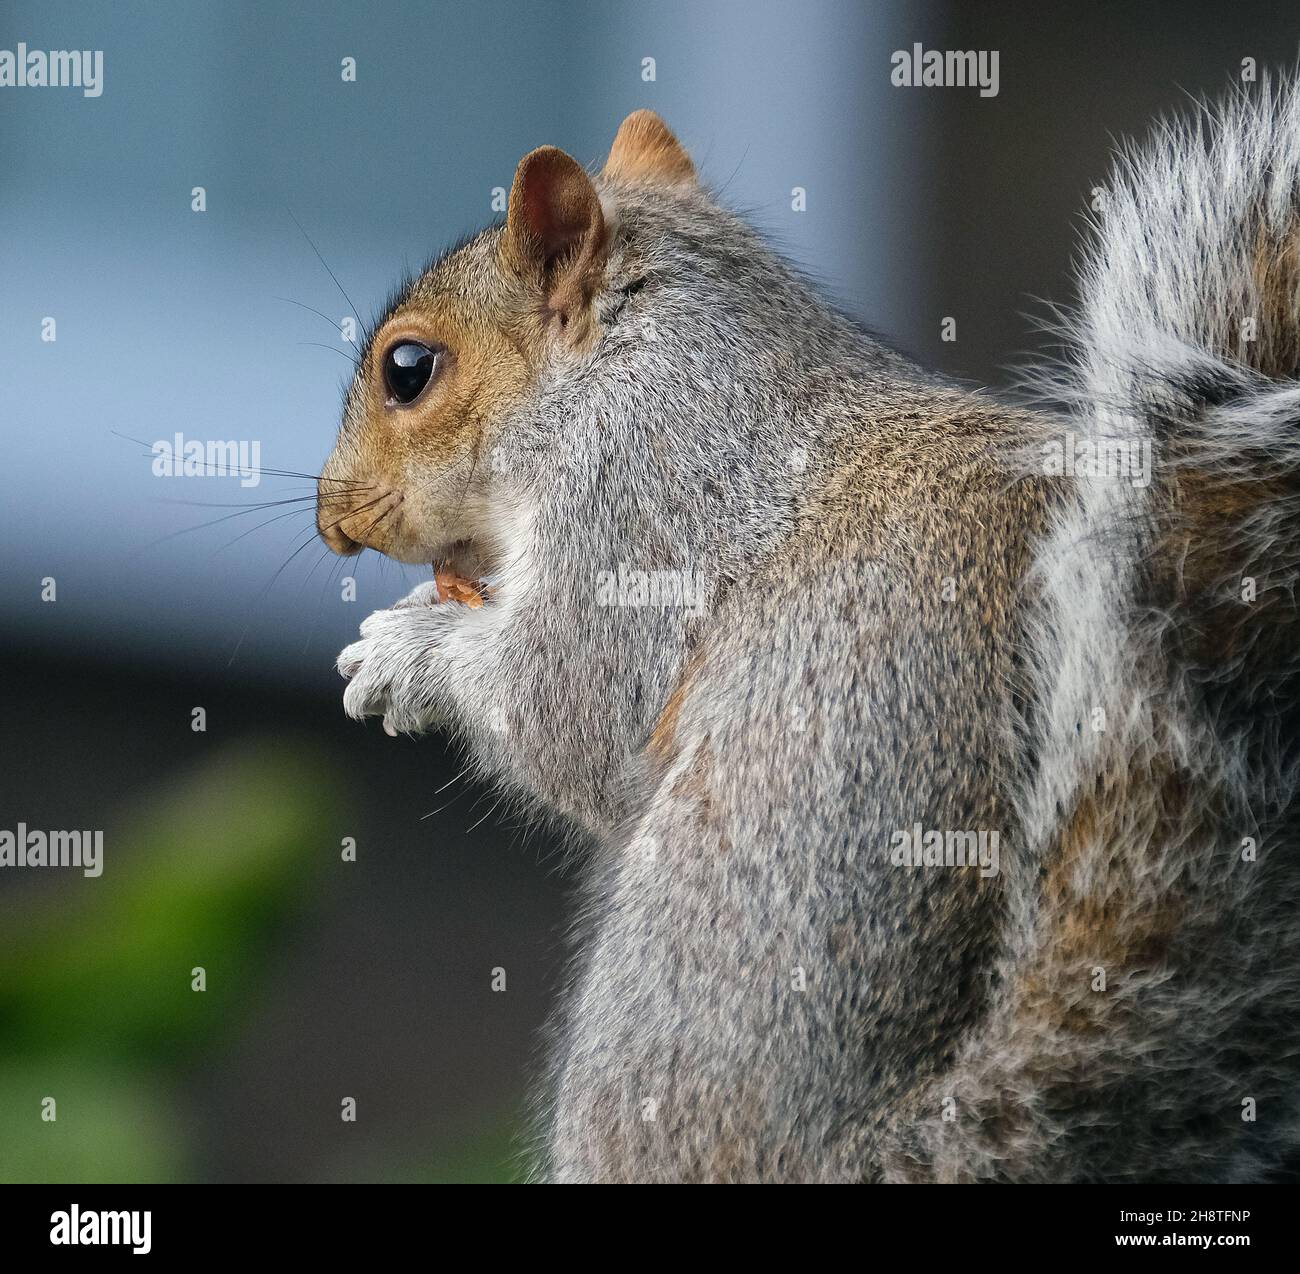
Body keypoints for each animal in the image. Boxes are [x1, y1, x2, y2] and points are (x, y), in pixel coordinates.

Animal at [316, 91, 1300, 1183]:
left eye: (409, 369)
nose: (330, 519)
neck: (644, 363)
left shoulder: (632, 508)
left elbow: (564, 708)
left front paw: (407, 652)